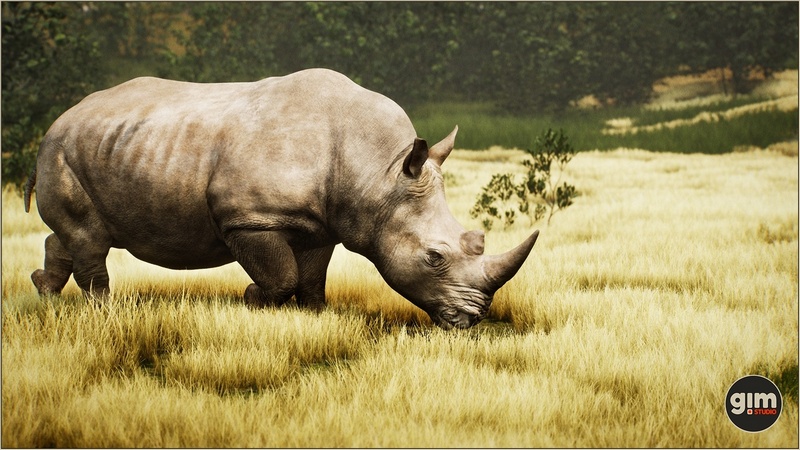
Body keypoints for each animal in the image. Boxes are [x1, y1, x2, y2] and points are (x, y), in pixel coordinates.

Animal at [24, 68, 539, 329]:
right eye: (434, 257)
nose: (471, 319)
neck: (380, 170)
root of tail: (56, 121)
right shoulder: (250, 217)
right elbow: (282, 274)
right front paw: (252, 300)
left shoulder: (323, 223)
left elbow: (311, 275)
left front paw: (315, 316)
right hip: (63, 151)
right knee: (88, 237)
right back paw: (104, 313)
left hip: (104, 144)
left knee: (70, 235)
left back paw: (44, 292)